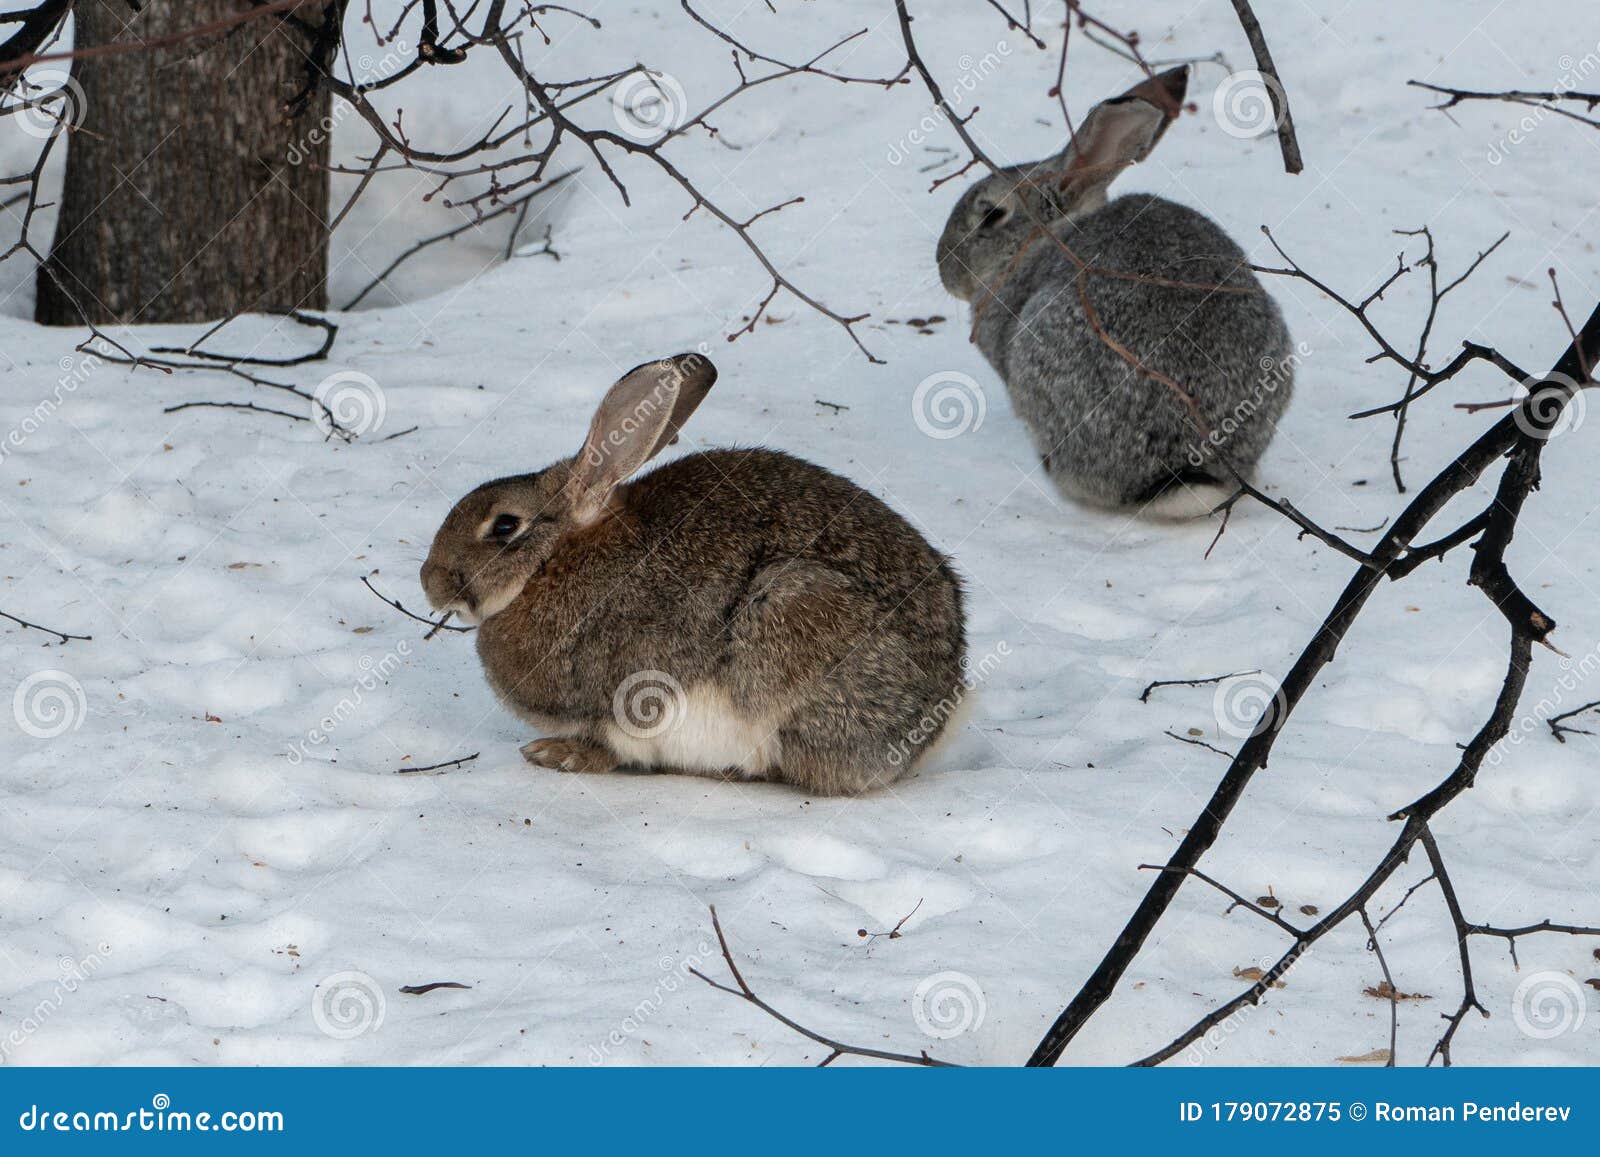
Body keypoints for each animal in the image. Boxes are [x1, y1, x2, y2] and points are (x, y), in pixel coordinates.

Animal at [420, 354, 968, 797]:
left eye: (504, 525)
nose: (430, 582)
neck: (551, 563)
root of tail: (943, 706)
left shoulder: (628, 698)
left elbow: (610, 744)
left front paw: (558, 754)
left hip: (792, 619)